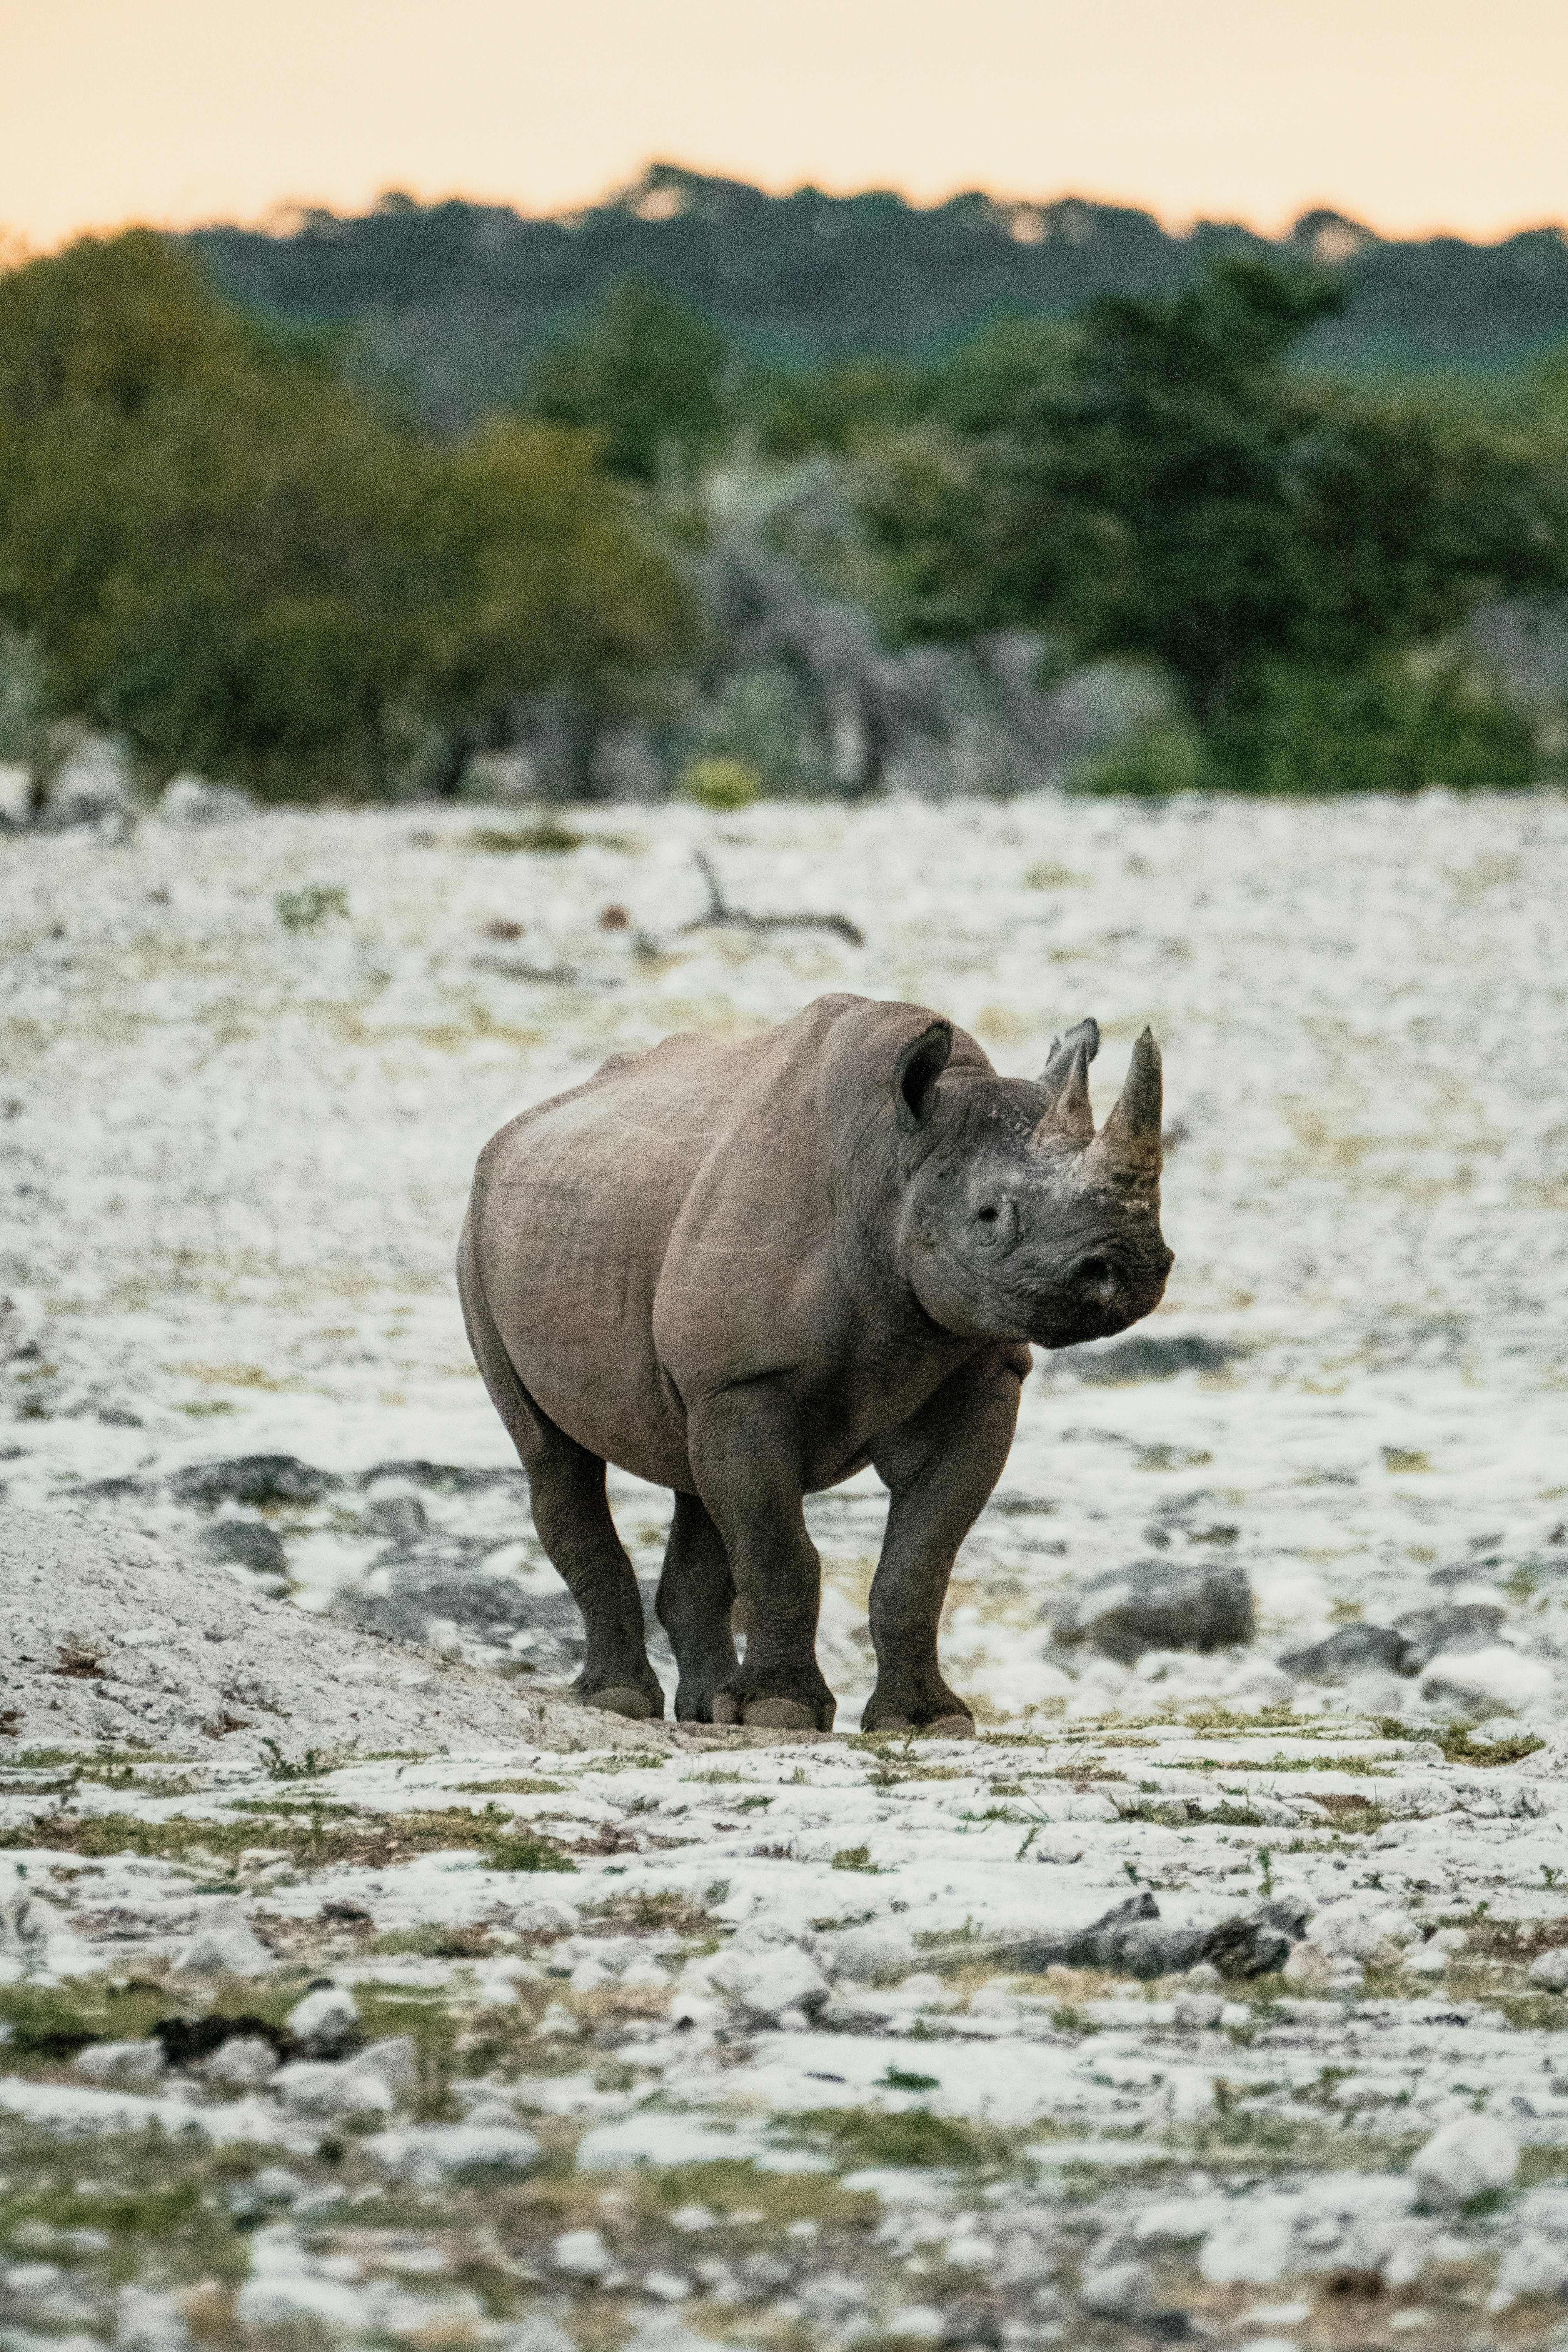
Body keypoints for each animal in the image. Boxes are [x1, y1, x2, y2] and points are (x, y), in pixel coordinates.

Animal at [458, 993, 1172, 1733]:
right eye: (989, 1216)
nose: (1129, 1266)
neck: (894, 1164)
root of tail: (518, 1127)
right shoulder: (747, 1381)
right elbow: (780, 1552)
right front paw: (782, 1710)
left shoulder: (984, 1370)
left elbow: (919, 1563)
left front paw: (927, 1721)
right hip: (478, 1240)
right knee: (554, 1455)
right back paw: (619, 1701)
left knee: (693, 1474)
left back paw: (709, 1712)